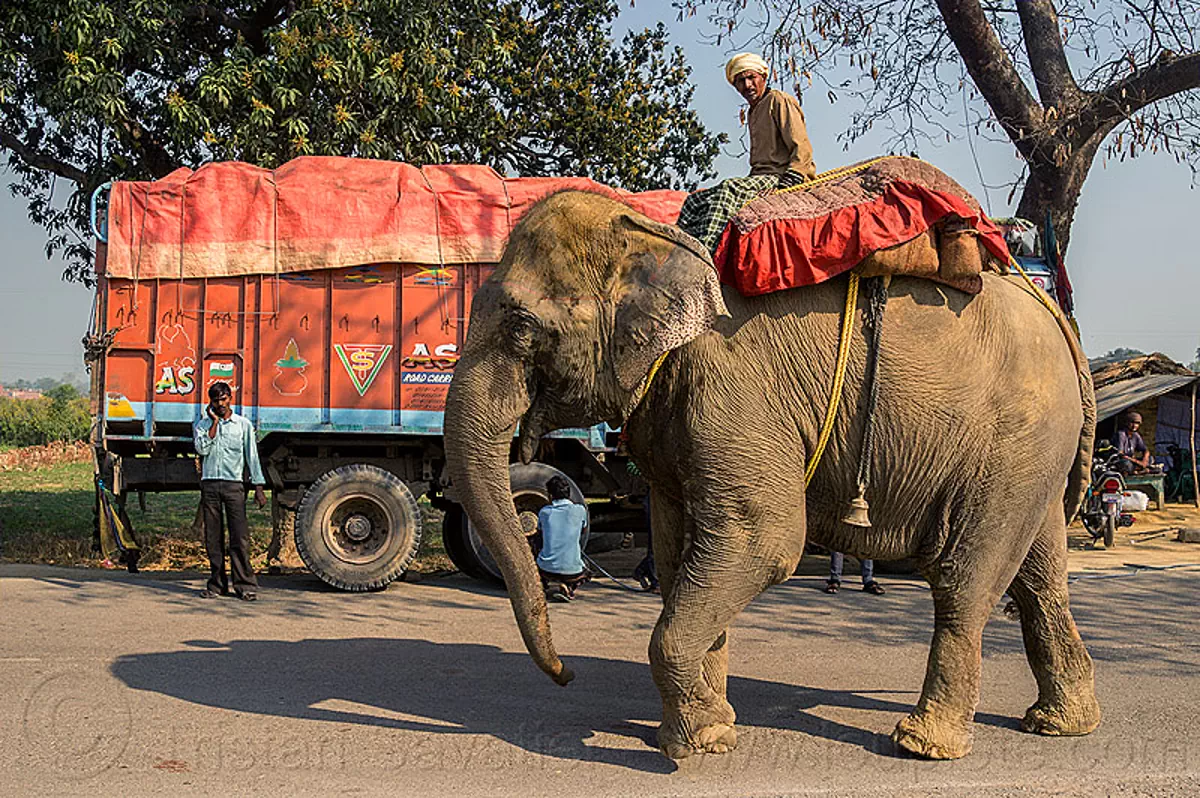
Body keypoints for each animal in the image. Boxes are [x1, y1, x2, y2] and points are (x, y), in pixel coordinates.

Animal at [443, 189, 1100, 761]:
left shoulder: (732, 393)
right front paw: (708, 728)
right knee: (1040, 578)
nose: (567, 673)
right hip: (1034, 455)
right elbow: (681, 551)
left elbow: (762, 542)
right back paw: (1061, 724)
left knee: (965, 580)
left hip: (1010, 442)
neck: (655, 233)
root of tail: (1059, 320)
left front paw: (694, 746)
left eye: (522, 327)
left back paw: (923, 744)